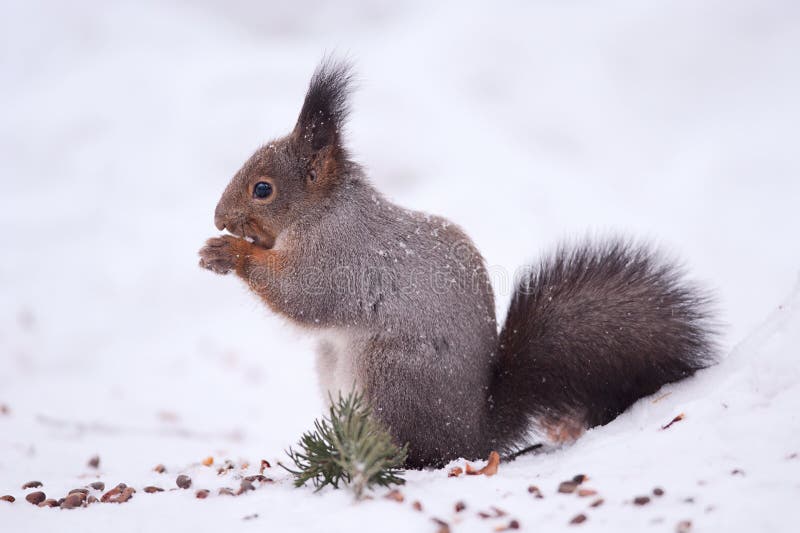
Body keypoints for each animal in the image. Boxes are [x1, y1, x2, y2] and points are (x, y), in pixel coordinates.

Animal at [199, 59, 717, 469]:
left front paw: (229, 253)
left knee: (418, 453)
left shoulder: (340, 255)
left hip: (391, 378)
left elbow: (303, 294)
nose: (219, 218)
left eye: (262, 189)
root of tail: (473, 436)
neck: (323, 210)